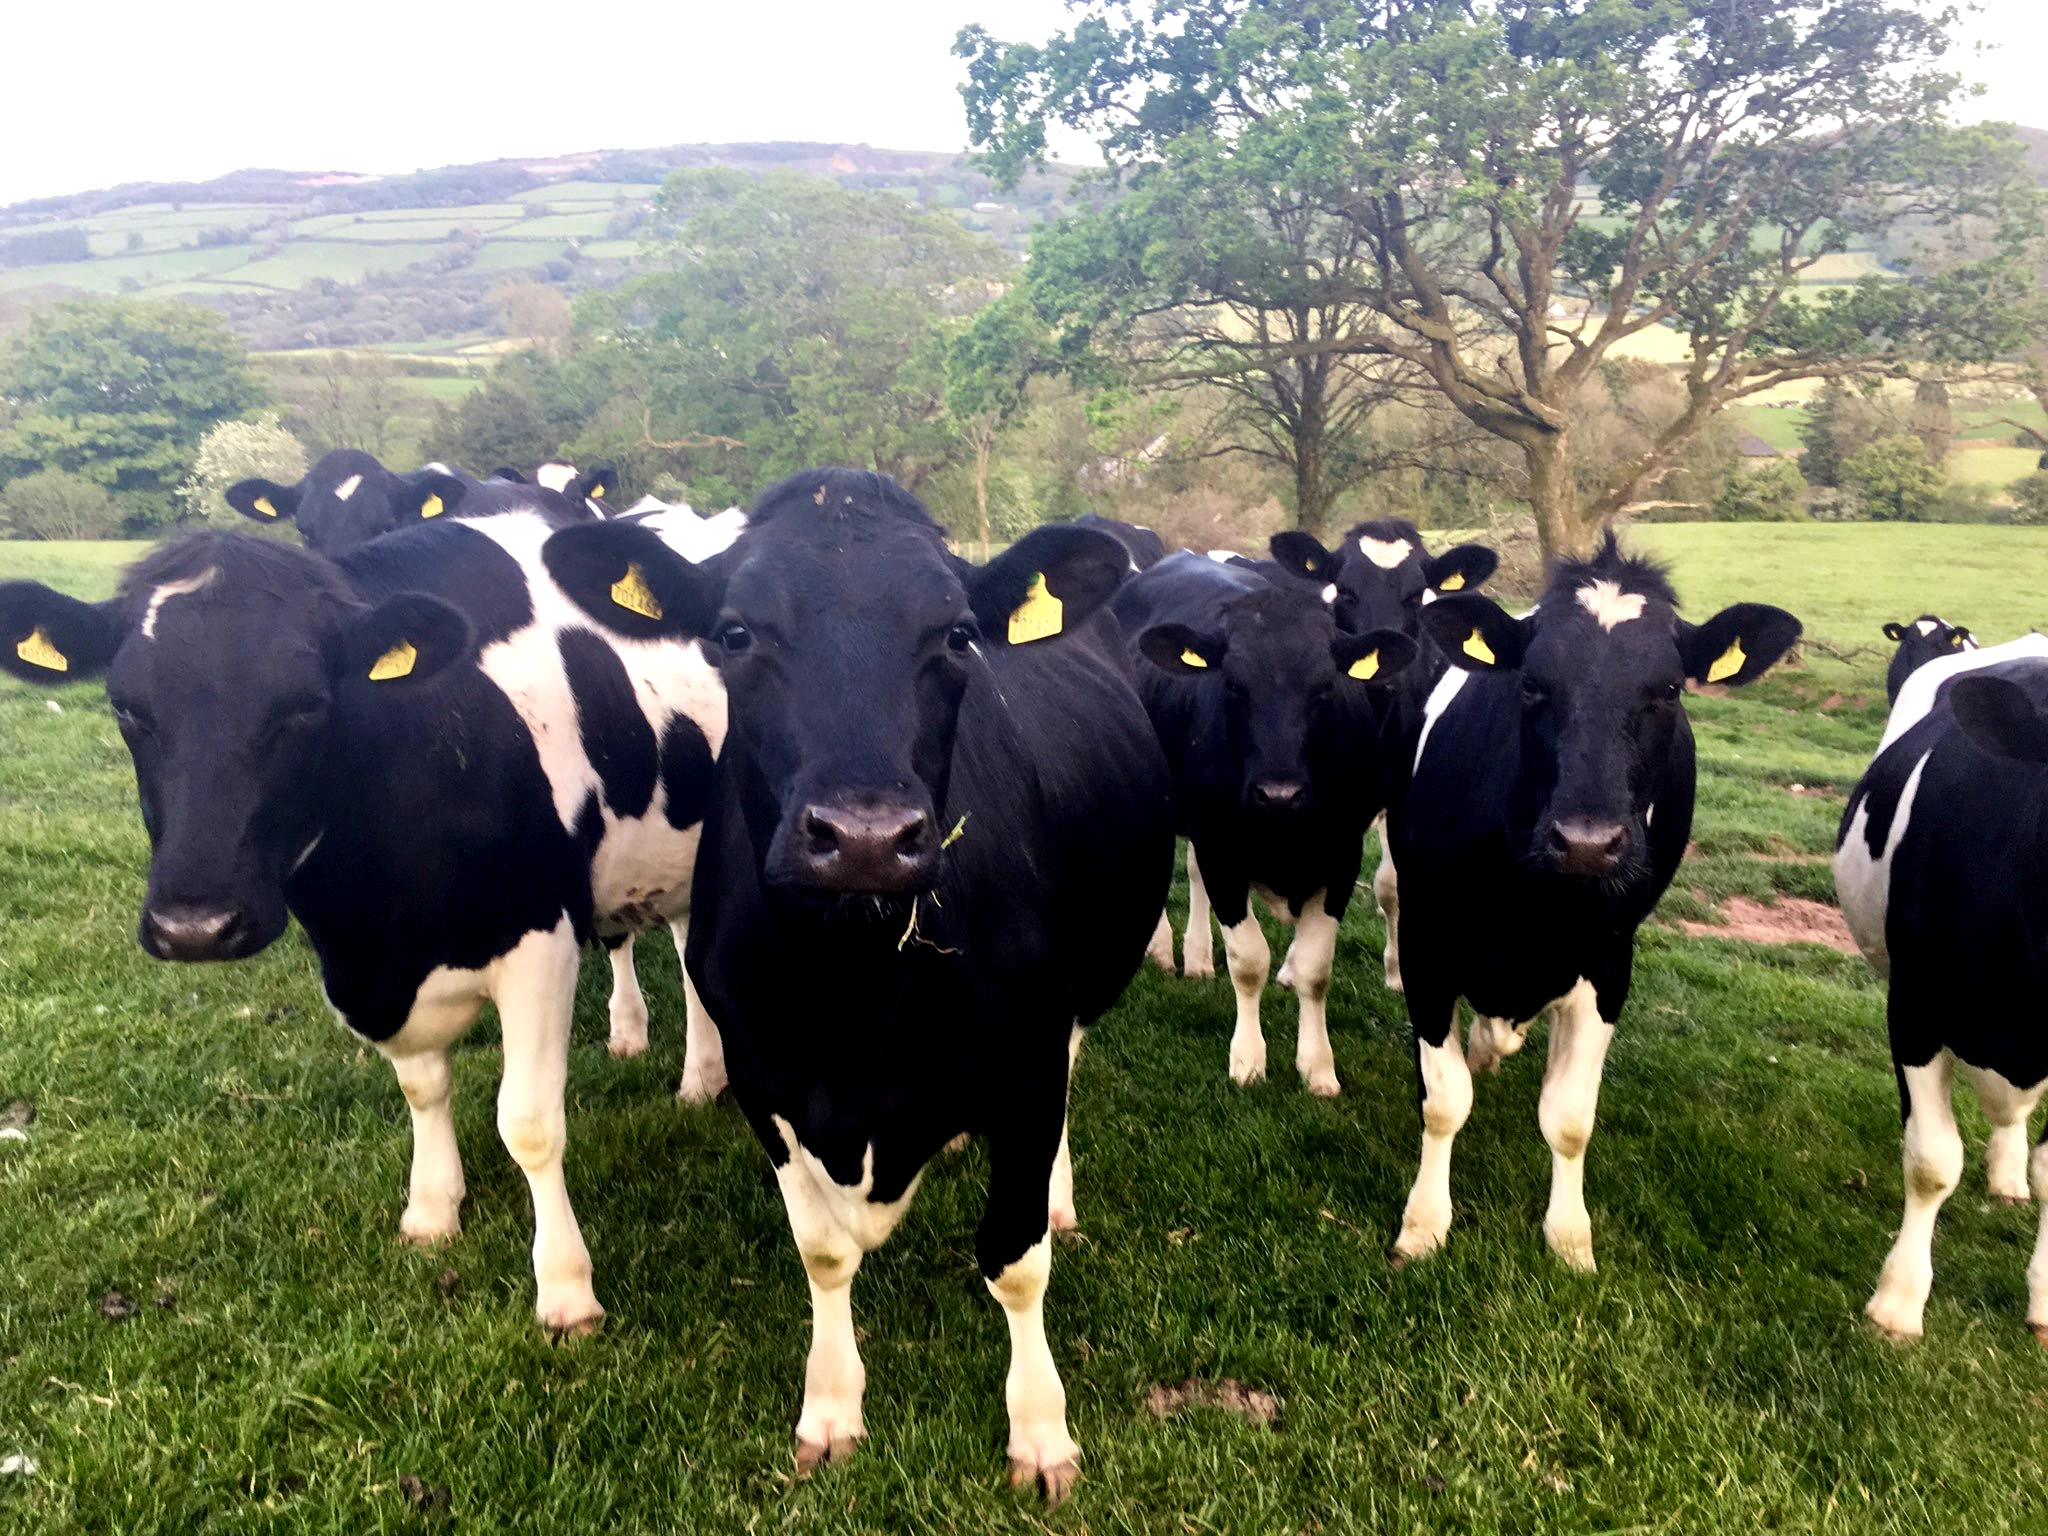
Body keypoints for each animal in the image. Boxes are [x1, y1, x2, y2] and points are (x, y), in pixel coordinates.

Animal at [0, 511, 731, 1331]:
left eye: (306, 706)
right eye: (126, 707)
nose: (196, 927)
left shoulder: (540, 940)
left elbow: (530, 1124)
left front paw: (567, 1289)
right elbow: (422, 1088)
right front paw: (432, 1211)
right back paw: (682, 1066)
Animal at [548, 468, 1174, 1503]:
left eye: (957, 634)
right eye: (734, 633)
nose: (867, 838)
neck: (852, 1004)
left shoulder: (1027, 1060)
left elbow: (1015, 1258)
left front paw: (1041, 1433)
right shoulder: (761, 1076)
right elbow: (825, 1249)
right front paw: (832, 1411)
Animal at [1112, 550, 1417, 1094]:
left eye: (1325, 686)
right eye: (1233, 685)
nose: (1279, 793)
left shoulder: (1341, 858)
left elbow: (1316, 967)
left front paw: (1317, 1067)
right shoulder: (1222, 852)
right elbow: (1249, 961)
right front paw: (1248, 1060)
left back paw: (1197, 958)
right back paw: (1166, 950)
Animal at [1385, 535, 1800, 1270]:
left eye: (1669, 690)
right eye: (1530, 684)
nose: (1586, 842)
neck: (1533, 909)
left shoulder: (1608, 962)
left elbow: (1571, 1118)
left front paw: (1570, 1237)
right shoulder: (1429, 943)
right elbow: (1443, 1101)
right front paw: (1424, 1224)